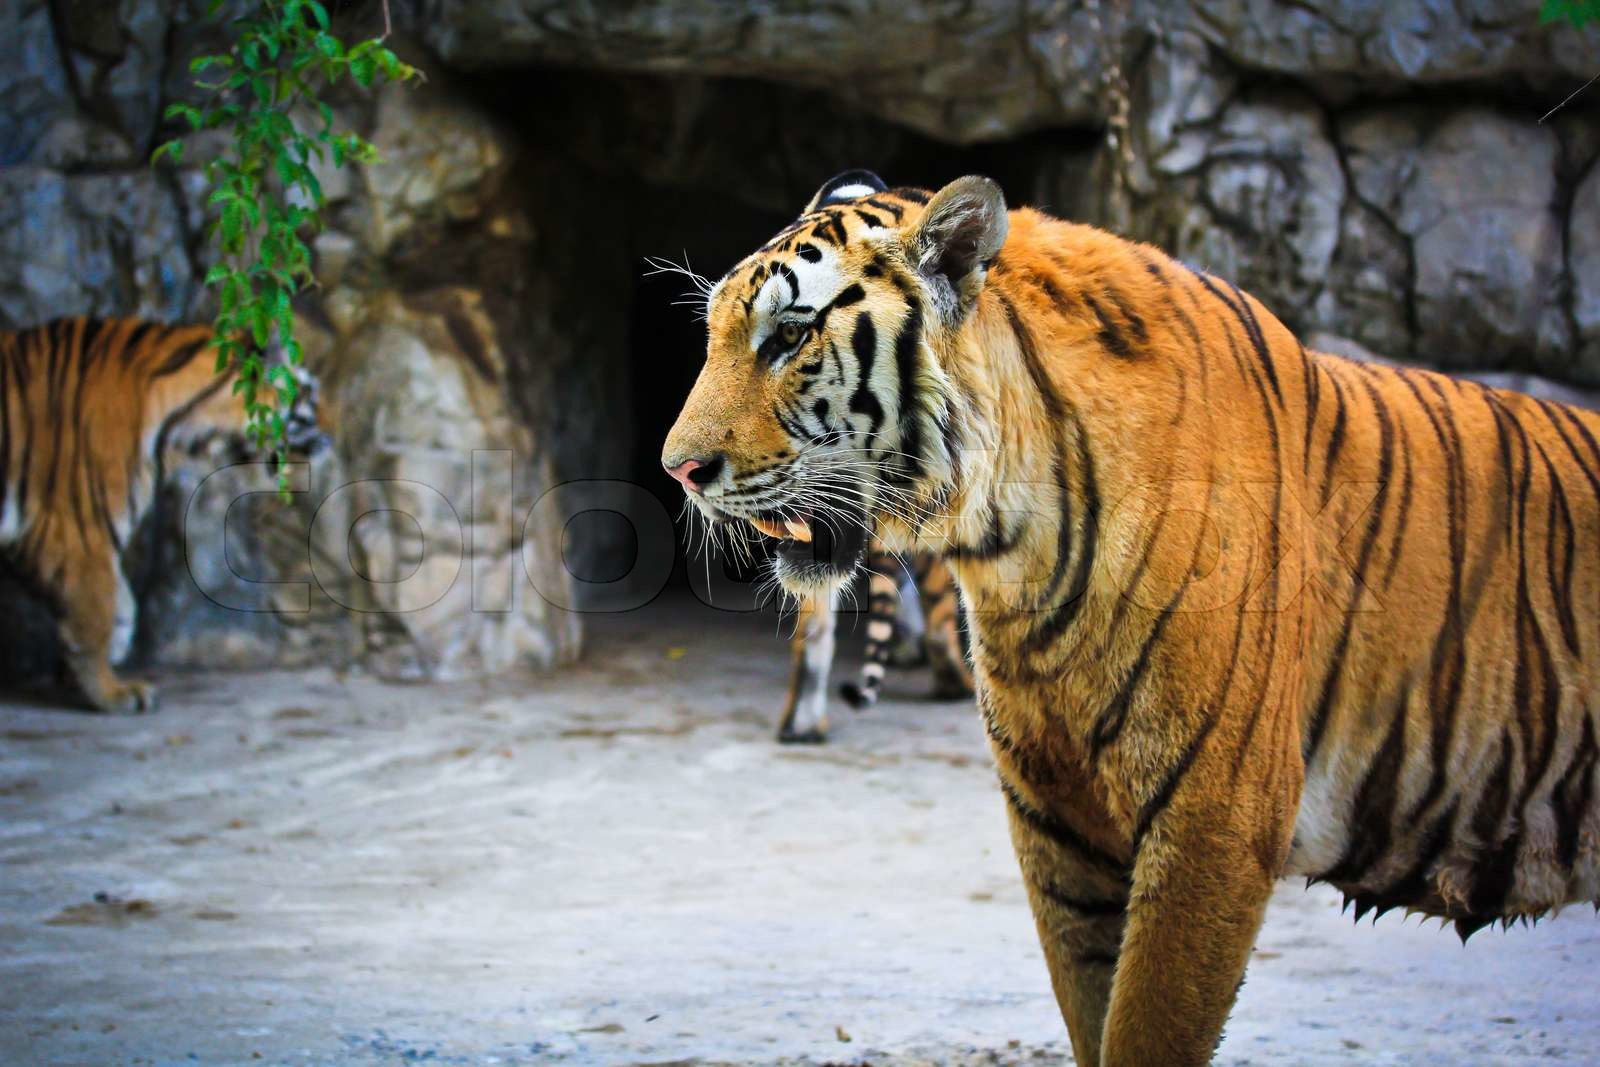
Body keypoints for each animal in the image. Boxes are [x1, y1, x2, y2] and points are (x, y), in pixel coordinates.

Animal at [1, 317, 322, 714]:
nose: (330, 437)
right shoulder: (78, 527)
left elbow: (121, 600)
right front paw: (112, 692)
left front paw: (107, 653)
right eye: (309, 394)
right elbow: (97, 608)